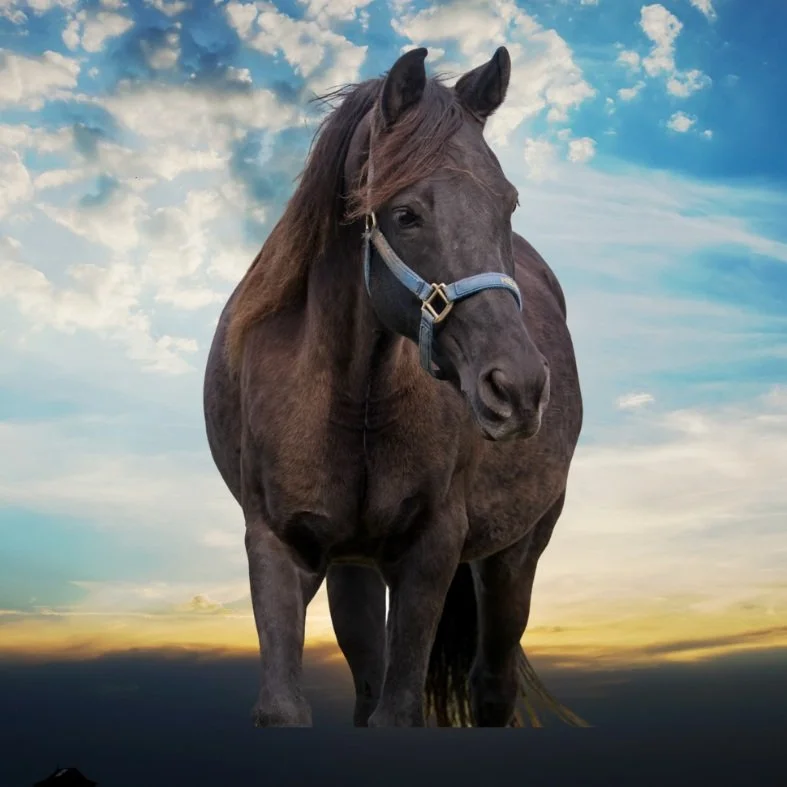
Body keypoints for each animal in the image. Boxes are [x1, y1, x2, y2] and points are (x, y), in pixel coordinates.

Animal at [203, 46, 585, 727]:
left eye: (508, 205)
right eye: (406, 214)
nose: (518, 388)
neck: (354, 396)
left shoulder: (429, 553)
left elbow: (399, 710)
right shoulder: (278, 544)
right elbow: (287, 706)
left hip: (517, 552)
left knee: (492, 685)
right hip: (352, 567)